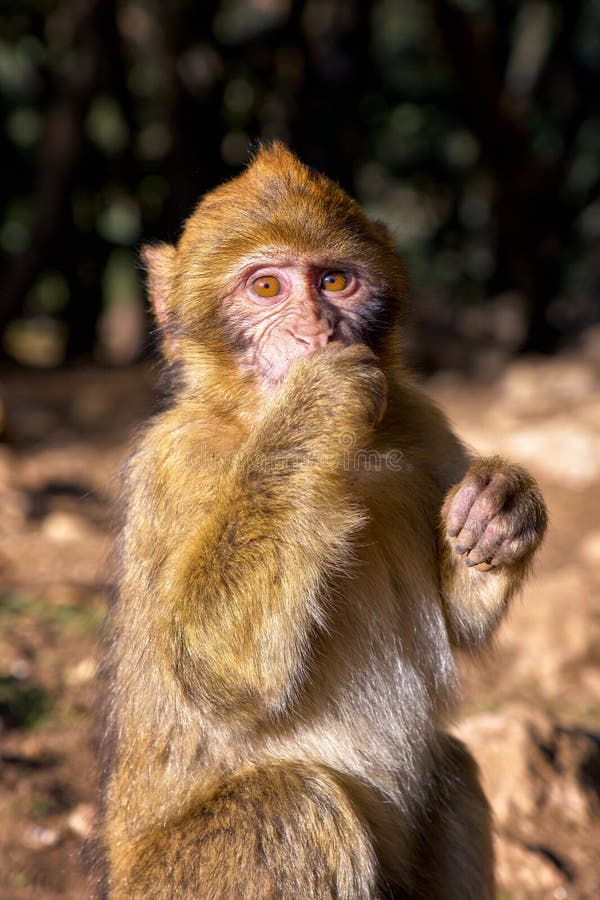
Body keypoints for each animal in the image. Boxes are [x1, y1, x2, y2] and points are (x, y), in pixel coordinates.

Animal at [100, 142, 547, 899]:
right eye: (267, 289)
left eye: (335, 281)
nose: (316, 331)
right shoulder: (178, 461)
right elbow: (209, 664)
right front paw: (317, 403)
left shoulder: (422, 421)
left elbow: (460, 619)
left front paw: (501, 507)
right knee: (294, 807)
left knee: (451, 772)